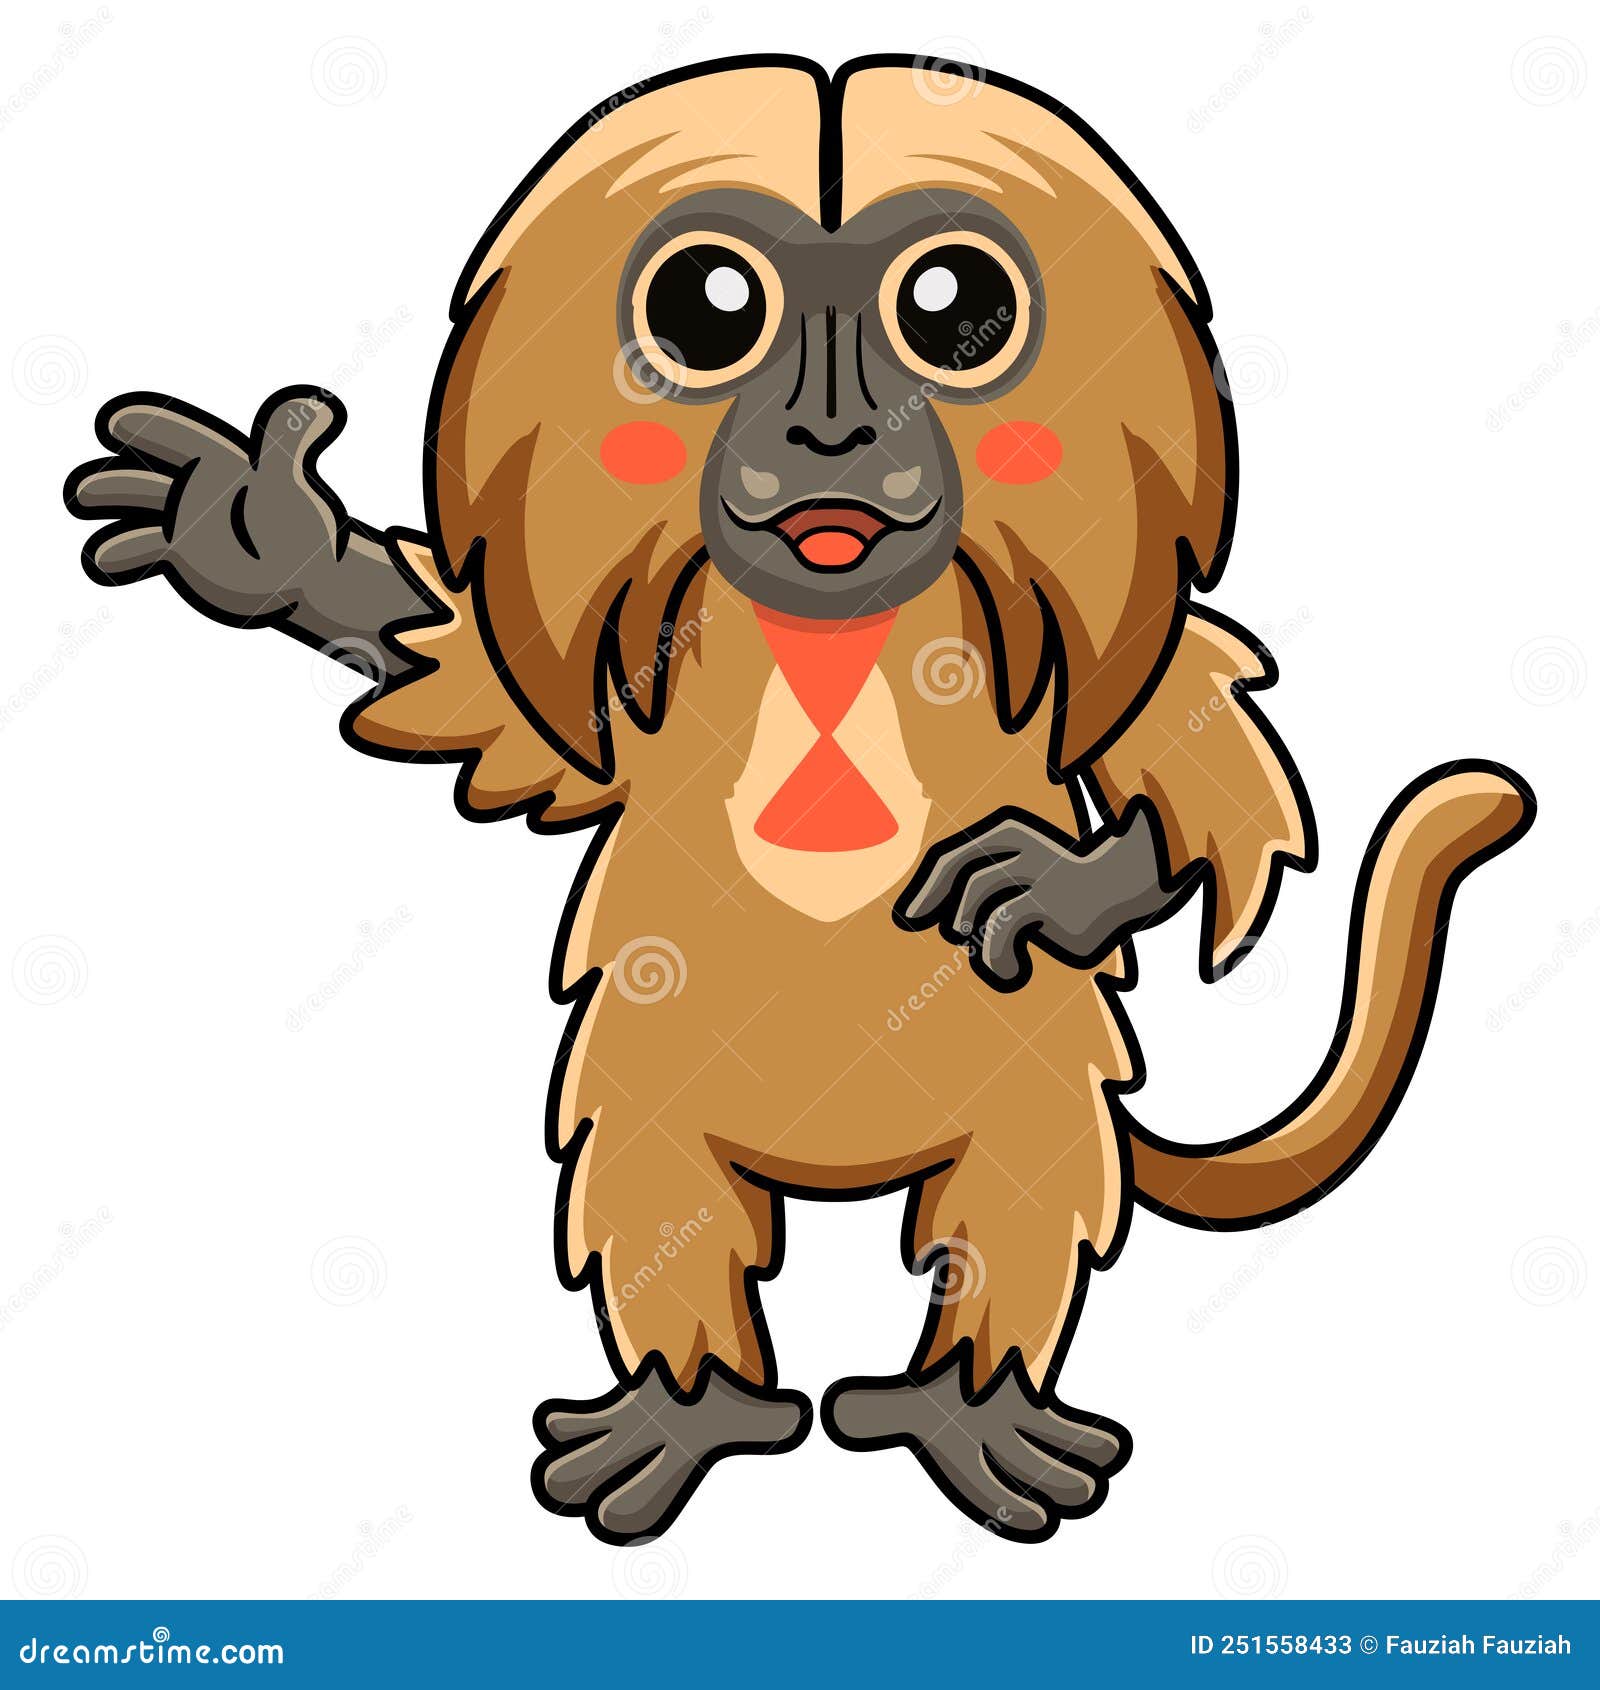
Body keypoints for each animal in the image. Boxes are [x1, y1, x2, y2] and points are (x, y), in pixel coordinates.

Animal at [64, 56, 1534, 1545]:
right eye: (707, 307)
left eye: (953, 306)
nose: (832, 430)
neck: (833, 624)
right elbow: (473, 684)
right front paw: (262, 531)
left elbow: (1203, 783)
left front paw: (1050, 883)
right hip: (655, 1093)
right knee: (666, 1208)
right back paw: (685, 1411)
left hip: (1029, 1089)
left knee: (1010, 1215)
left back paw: (971, 1408)